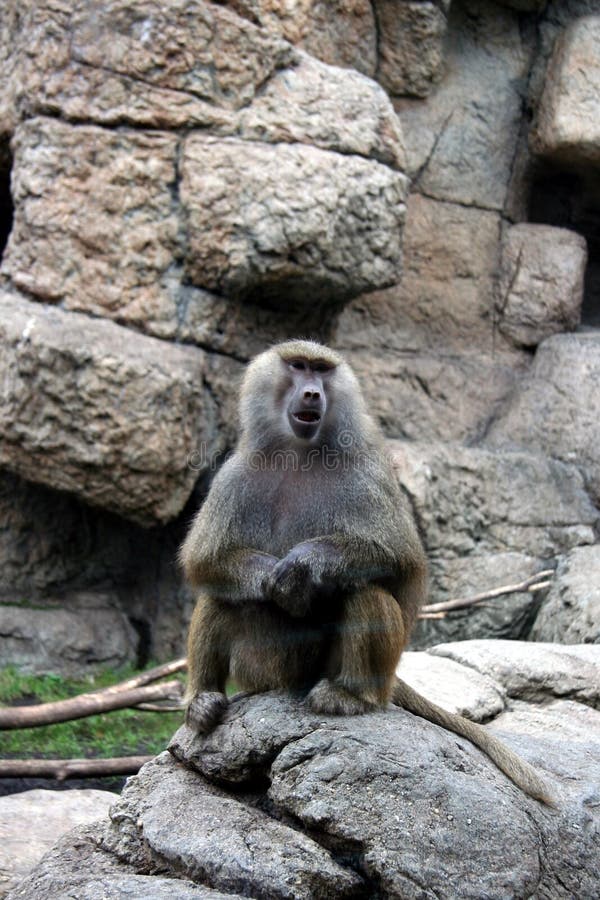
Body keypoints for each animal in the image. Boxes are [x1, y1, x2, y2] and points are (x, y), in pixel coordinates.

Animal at [180, 339, 553, 805]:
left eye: (322, 370)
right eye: (298, 366)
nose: (312, 393)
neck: (299, 453)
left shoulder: (365, 472)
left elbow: (397, 560)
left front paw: (302, 564)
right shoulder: (236, 475)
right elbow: (205, 561)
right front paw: (274, 577)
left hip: (354, 670)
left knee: (363, 592)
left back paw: (351, 695)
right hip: (264, 670)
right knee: (221, 596)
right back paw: (203, 703)